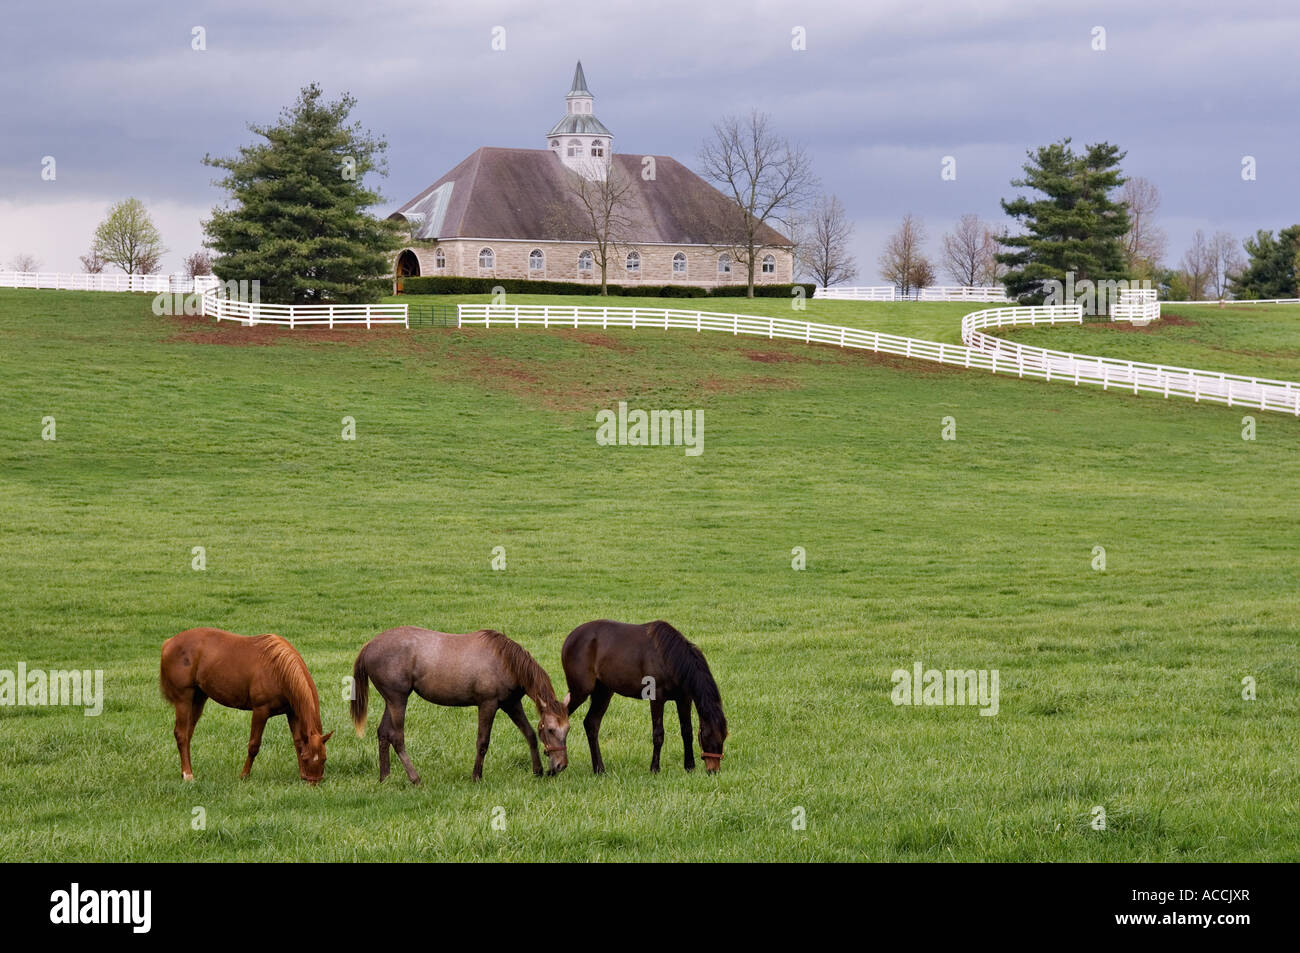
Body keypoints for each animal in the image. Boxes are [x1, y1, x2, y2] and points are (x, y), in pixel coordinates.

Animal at [159, 627, 333, 783]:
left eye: (324, 758)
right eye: (307, 757)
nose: (313, 782)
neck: (278, 670)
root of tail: (168, 643)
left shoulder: (292, 712)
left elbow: (297, 742)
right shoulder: (260, 711)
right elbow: (254, 745)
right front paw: (244, 775)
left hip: (198, 699)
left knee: (188, 734)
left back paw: (185, 772)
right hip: (184, 699)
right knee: (181, 734)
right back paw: (188, 775)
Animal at [350, 626, 569, 783]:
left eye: (567, 729)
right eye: (550, 729)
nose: (561, 766)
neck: (505, 661)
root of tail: (369, 646)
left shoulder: (512, 704)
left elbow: (530, 734)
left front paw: (537, 770)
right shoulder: (488, 705)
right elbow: (482, 742)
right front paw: (476, 776)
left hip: (391, 701)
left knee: (383, 733)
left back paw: (385, 777)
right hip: (398, 699)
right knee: (397, 737)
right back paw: (415, 778)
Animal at [561, 619, 728, 774]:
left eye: (724, 736)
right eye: (707, 735)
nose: (713, 770)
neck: (669, 658)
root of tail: (570, 638)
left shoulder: (684, 698)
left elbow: (687, 731)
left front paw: (689, 767)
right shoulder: (657, 697)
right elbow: (658, 734)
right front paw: (655, 768)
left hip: (603, 693)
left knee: (591, 724)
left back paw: (599, 769)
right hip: (580, 691)